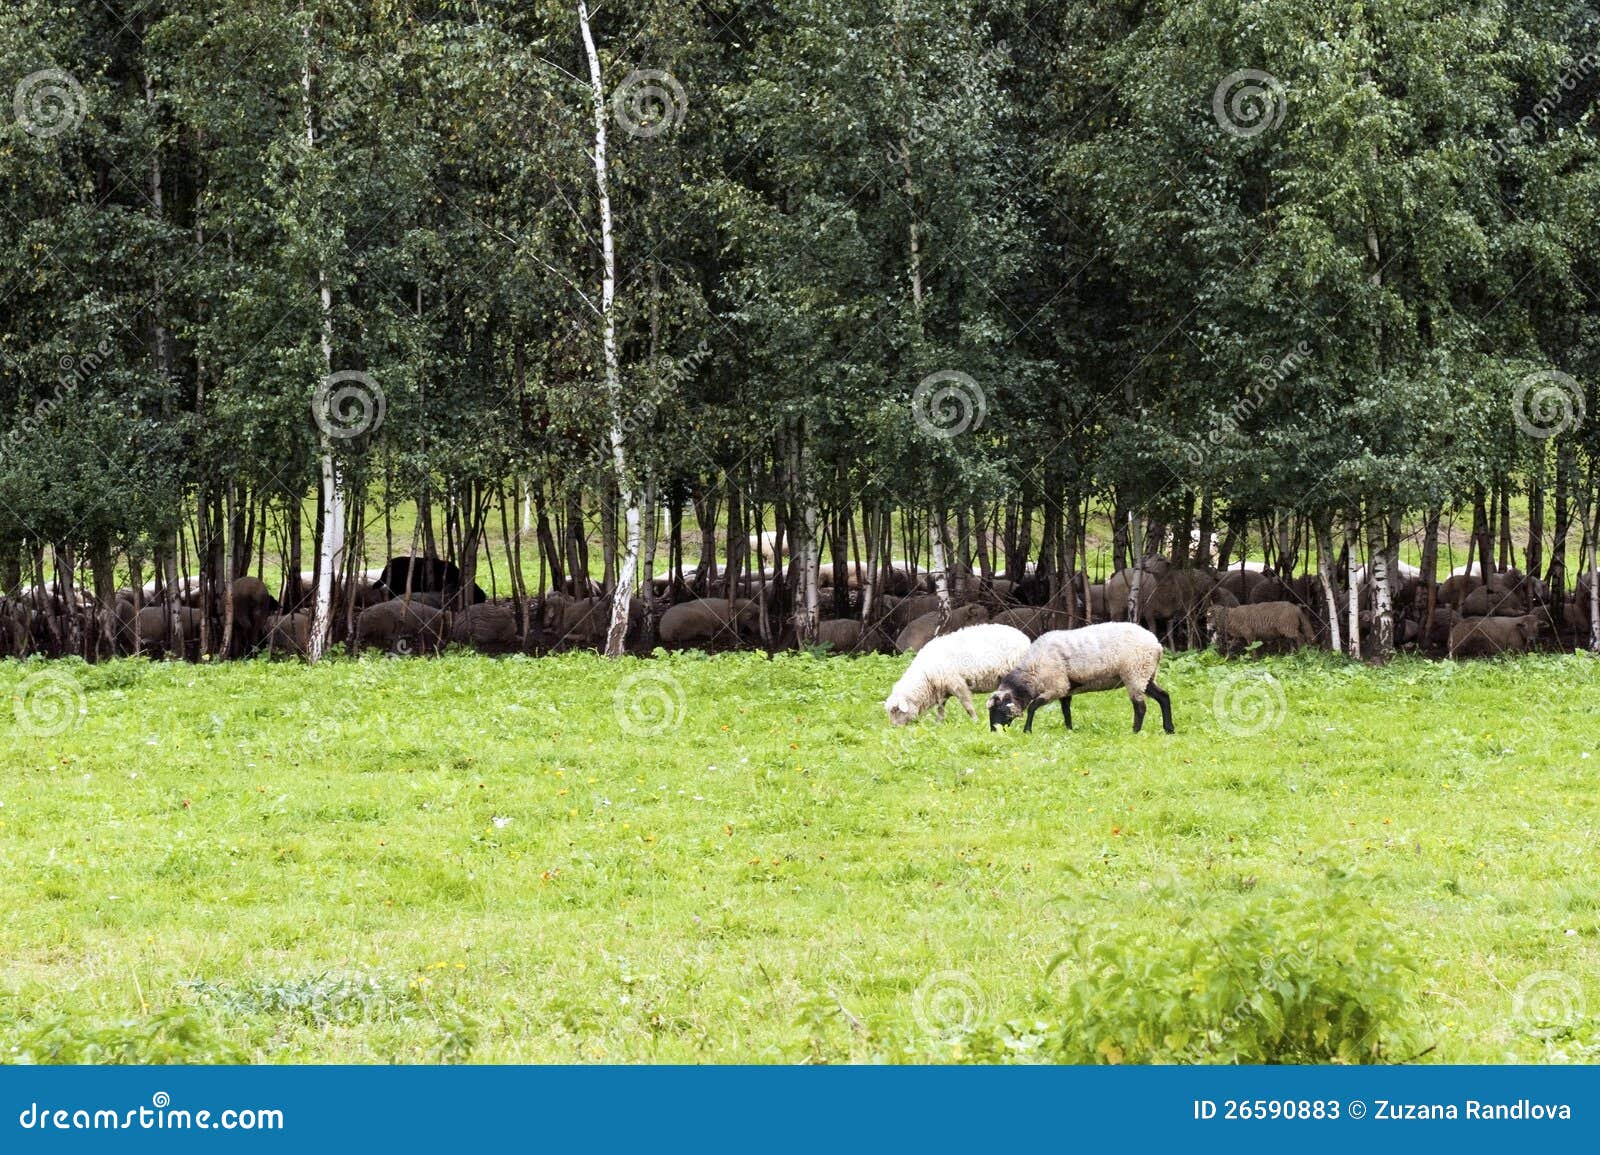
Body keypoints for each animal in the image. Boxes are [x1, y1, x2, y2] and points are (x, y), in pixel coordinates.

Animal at [883, 623, 1031, 725]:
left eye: (896, 710)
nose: (894, 728)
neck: (925, 678)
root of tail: (1024, 638)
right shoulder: (942, 689)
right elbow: (941, 708)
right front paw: (939, 723)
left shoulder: (957, 684)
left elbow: (968, 706)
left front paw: (975, 721)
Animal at [986, 622, 1172, 734]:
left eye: (1000, 709)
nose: (994, 731)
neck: (1032, 671)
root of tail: (1157, 645)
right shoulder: (1065, 689)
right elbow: (1066, 710)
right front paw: (1069, 730)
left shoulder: (1057, 686)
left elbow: (1033, 706)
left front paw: (1027, 730)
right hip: (1147, 674)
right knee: (1164, 696)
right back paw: (1169, 729)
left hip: (1135, 673)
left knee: (1140, 706)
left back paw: (1135, 731)